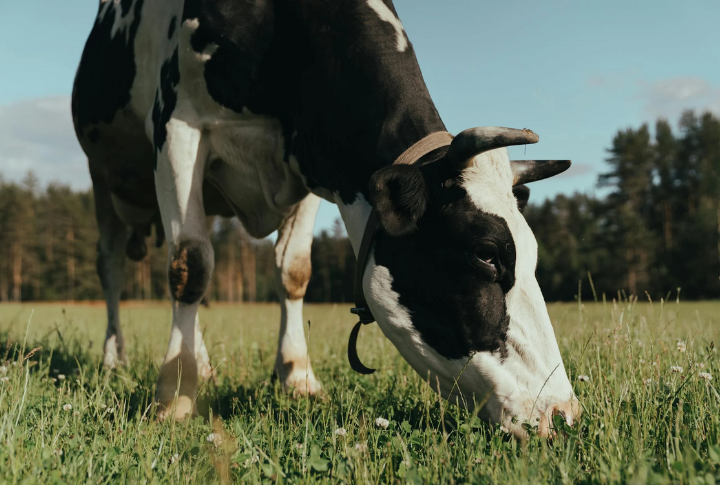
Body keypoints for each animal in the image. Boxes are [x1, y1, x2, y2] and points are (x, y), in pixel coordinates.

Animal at [72, 0, 579, 438]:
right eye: (486, 254)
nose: (563, 412)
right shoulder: (178, 126)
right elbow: (189, 265)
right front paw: (175, 394)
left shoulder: (313, 162)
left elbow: (293, 271)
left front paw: (298, 378)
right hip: (102, 176)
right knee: (116, 267)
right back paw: (116, 358)